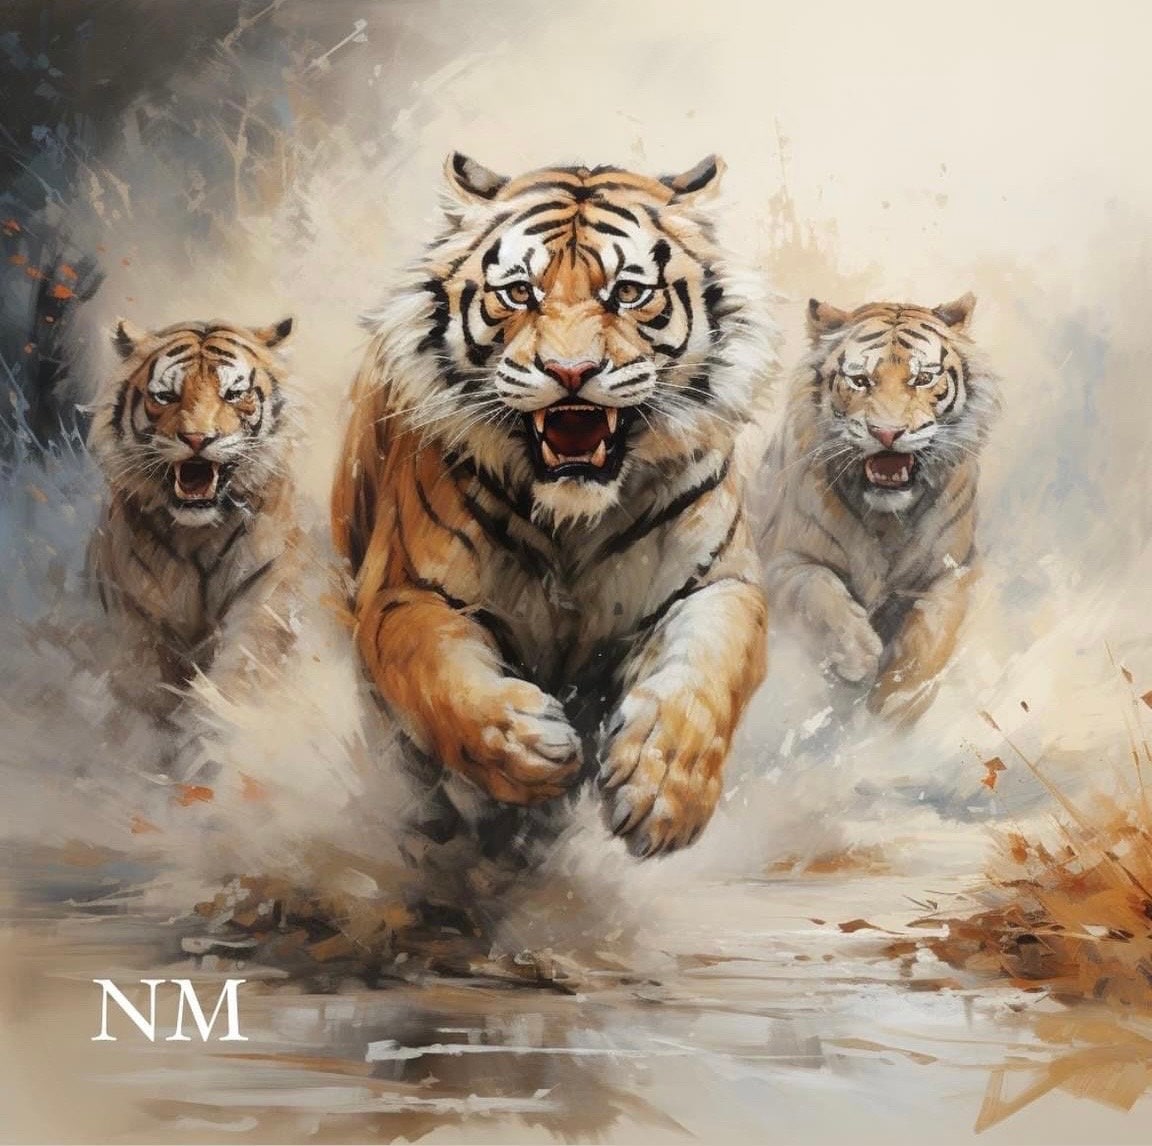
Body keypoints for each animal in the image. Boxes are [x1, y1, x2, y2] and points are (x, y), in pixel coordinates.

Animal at [87, 316, 303, 749]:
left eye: (234, 394)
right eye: (166, 396)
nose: (198, 439)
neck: (197, 537)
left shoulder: (262, 595)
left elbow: (236, 682)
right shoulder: (134, 613)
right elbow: (144, 689)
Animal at [332, 153, 773, 859]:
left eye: (628, 292)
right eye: (519, 293)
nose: (570, 373)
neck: (574, 519)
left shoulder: (720, 584)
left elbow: (706, 672)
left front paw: (662, 789)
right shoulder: (404, 594)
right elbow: (437, 673)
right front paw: (528, 749)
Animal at [756, 294, 1000, 722]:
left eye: (922, 379)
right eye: (859, 381)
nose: (886, 433)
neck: (888, 519)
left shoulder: (954, 571)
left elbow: (931, 632)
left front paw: (898, 699)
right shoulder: (783, 560)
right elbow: (820, 589)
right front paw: (858, 655)